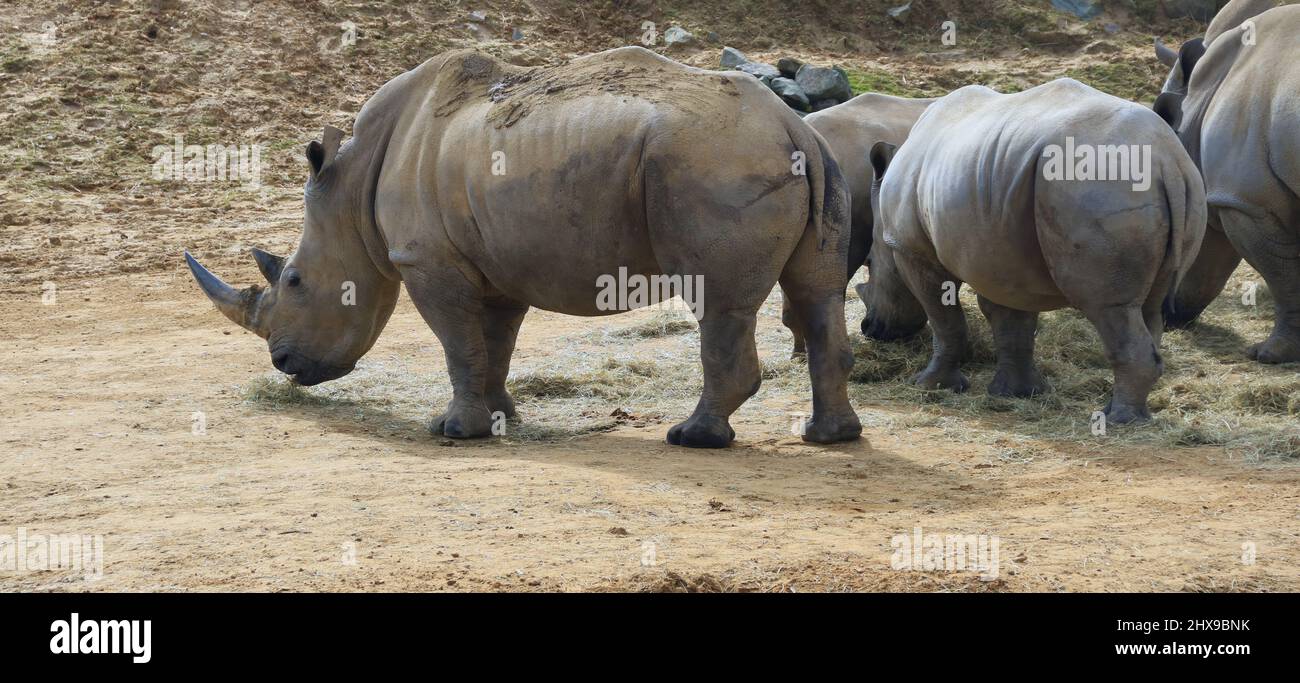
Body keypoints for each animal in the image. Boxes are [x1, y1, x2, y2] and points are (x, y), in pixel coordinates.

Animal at [184, 46, 862, 448]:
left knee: (718, 304)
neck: (352, 195)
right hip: (804, 162)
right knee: (817, 294)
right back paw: (829, 437)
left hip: (712, 165)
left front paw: (454, 431)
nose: (283, 365)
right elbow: (493, 343)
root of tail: (793, 124)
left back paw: (692, 437)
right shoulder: (491, 261)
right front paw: (501, 416)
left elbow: (458, 343)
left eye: (295, 280)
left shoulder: (427, 261)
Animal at [864, 79, 1206, 423]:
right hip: (1169, 186)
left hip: (1099, 183)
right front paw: (1017, 393)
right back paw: (1124, 412)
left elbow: (945, 320)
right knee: (1150, 306)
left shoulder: (911, 249)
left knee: (1110, 306)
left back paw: (1119, 421)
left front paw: (929, 385)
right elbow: (1011, 321)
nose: (871, 329)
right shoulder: (1000, 243)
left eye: (870, 264)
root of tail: (1167, 160)